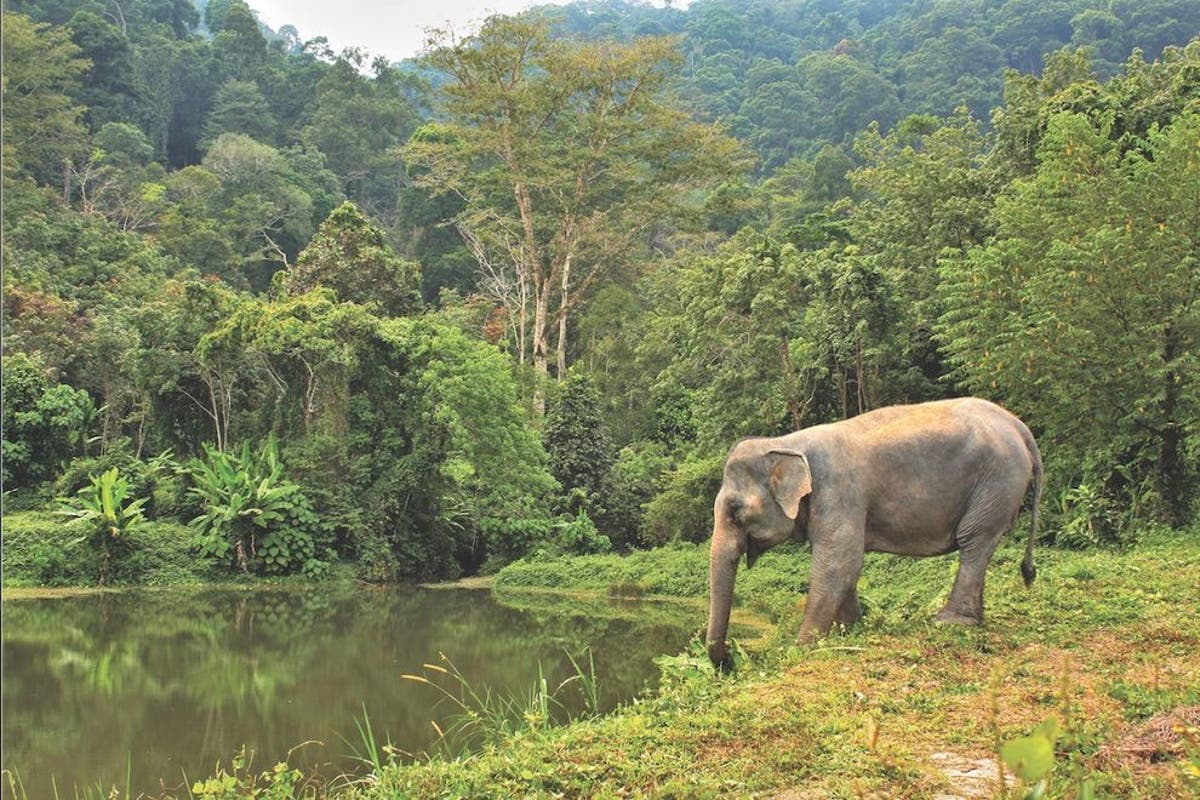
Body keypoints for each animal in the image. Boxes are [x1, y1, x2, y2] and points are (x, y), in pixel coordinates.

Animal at [706, 397, 1042, 670]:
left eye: (734, 511)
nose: (732, 657)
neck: (787, 442)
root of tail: (1020, 427)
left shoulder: (839, 490)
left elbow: (838, 561)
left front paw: (800, 648)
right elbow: (845, 565)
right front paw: (850, 629)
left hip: (998, 481)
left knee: (973, 540)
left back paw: (951, 622)